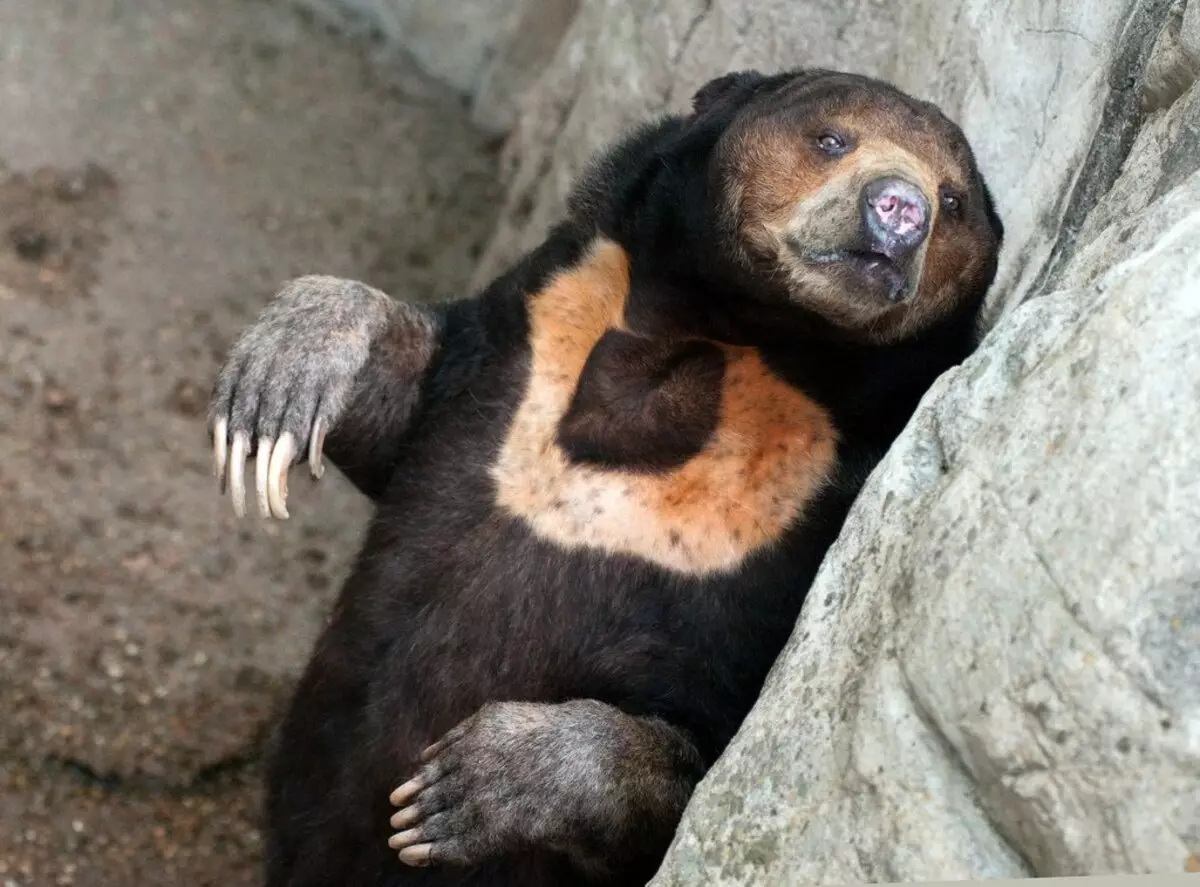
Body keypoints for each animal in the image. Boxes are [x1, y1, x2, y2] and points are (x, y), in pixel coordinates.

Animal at [204, 67, 1003, 887]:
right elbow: (405, 399)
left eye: (953, 202)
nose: (901, 210)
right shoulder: (536, 324)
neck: (730, 335)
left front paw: (462, 786)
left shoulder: (798, 530)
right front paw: (277, 386)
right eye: (832, 139)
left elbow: (698, 742)